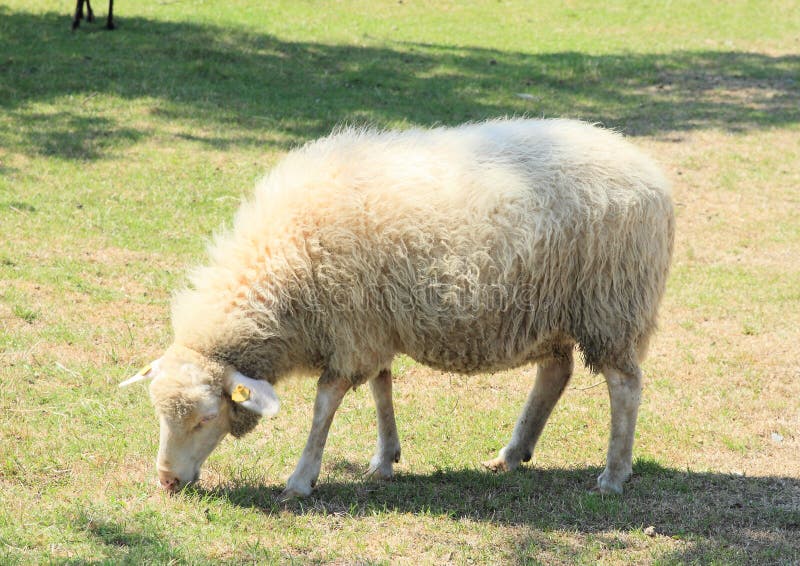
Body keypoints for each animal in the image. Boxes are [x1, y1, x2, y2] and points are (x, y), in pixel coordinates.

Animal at [121, 118, 674, 499]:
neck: (279, 270)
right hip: (552, 311)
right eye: (159, 415)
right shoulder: (372, 323)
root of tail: (649, 173)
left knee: (625, 387)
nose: (166, 481)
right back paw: (512, 454)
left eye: (204, 418)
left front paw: (301, 478)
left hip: (611, 305)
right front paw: (385, 458)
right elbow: (381, 388)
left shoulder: (351, 327)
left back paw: (614, 474)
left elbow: (326, 404)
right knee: (555, 373)